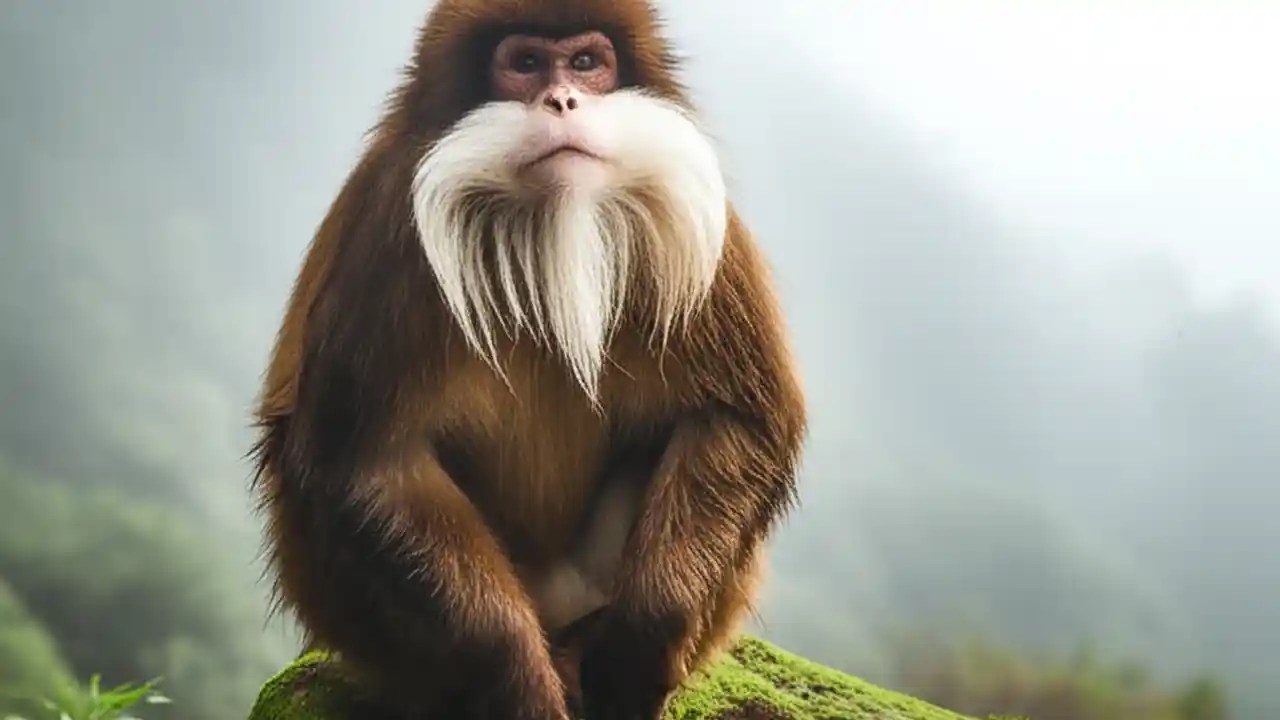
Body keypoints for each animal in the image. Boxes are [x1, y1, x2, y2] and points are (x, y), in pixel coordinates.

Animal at [249, 1, 806, 719]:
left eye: (586, 63)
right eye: (527, 64)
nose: (563, 100)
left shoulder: (707, 232)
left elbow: (741, 419)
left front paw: (637, 647)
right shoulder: (392, 227)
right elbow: (369, 463)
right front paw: (518, 684)